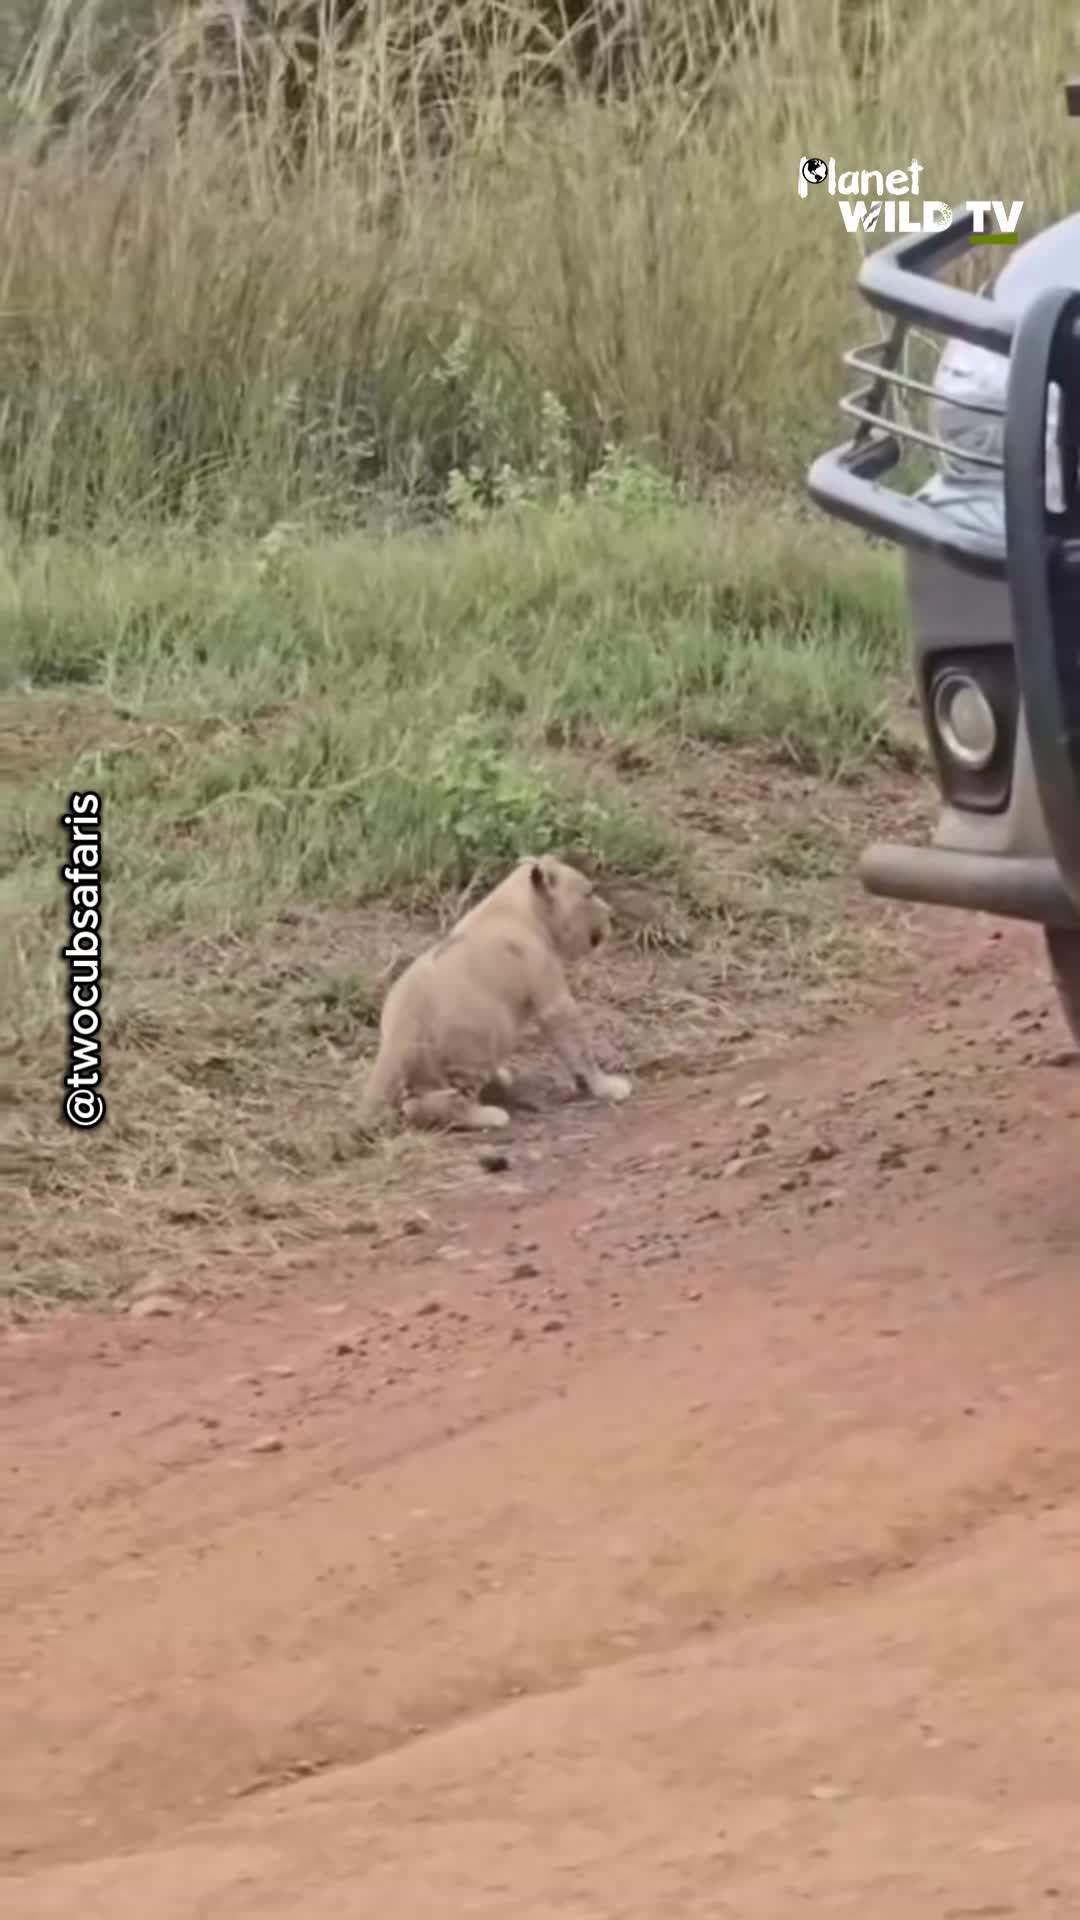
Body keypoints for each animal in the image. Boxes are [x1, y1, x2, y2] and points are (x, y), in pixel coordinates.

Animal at [358, 856, 632, 1131]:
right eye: (589, 893)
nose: (611, 912)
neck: (516, 905)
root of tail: (397, 1035)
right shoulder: (553, 998)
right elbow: (580, 1048)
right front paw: (609, 1087)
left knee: (415, 1103)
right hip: (479, 1043)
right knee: (445, 1103)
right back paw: (491, 1115)